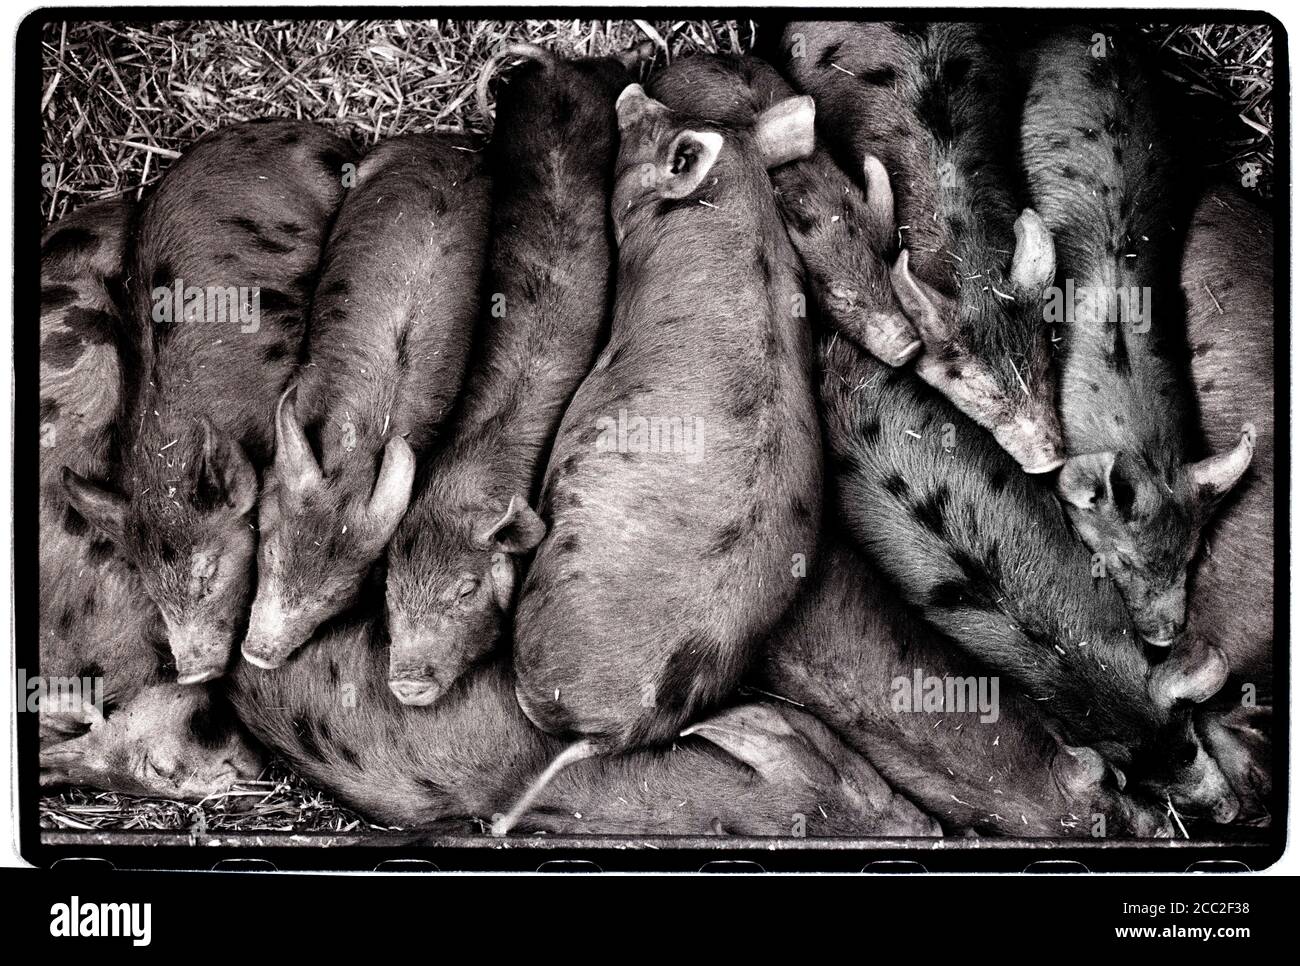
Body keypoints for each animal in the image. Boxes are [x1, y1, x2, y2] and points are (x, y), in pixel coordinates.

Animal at [383, 45, 641, 706]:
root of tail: (552, 66)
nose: (406, 684)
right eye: (390, 599)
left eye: (467, 589)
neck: (467, 483)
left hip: (594, 93)